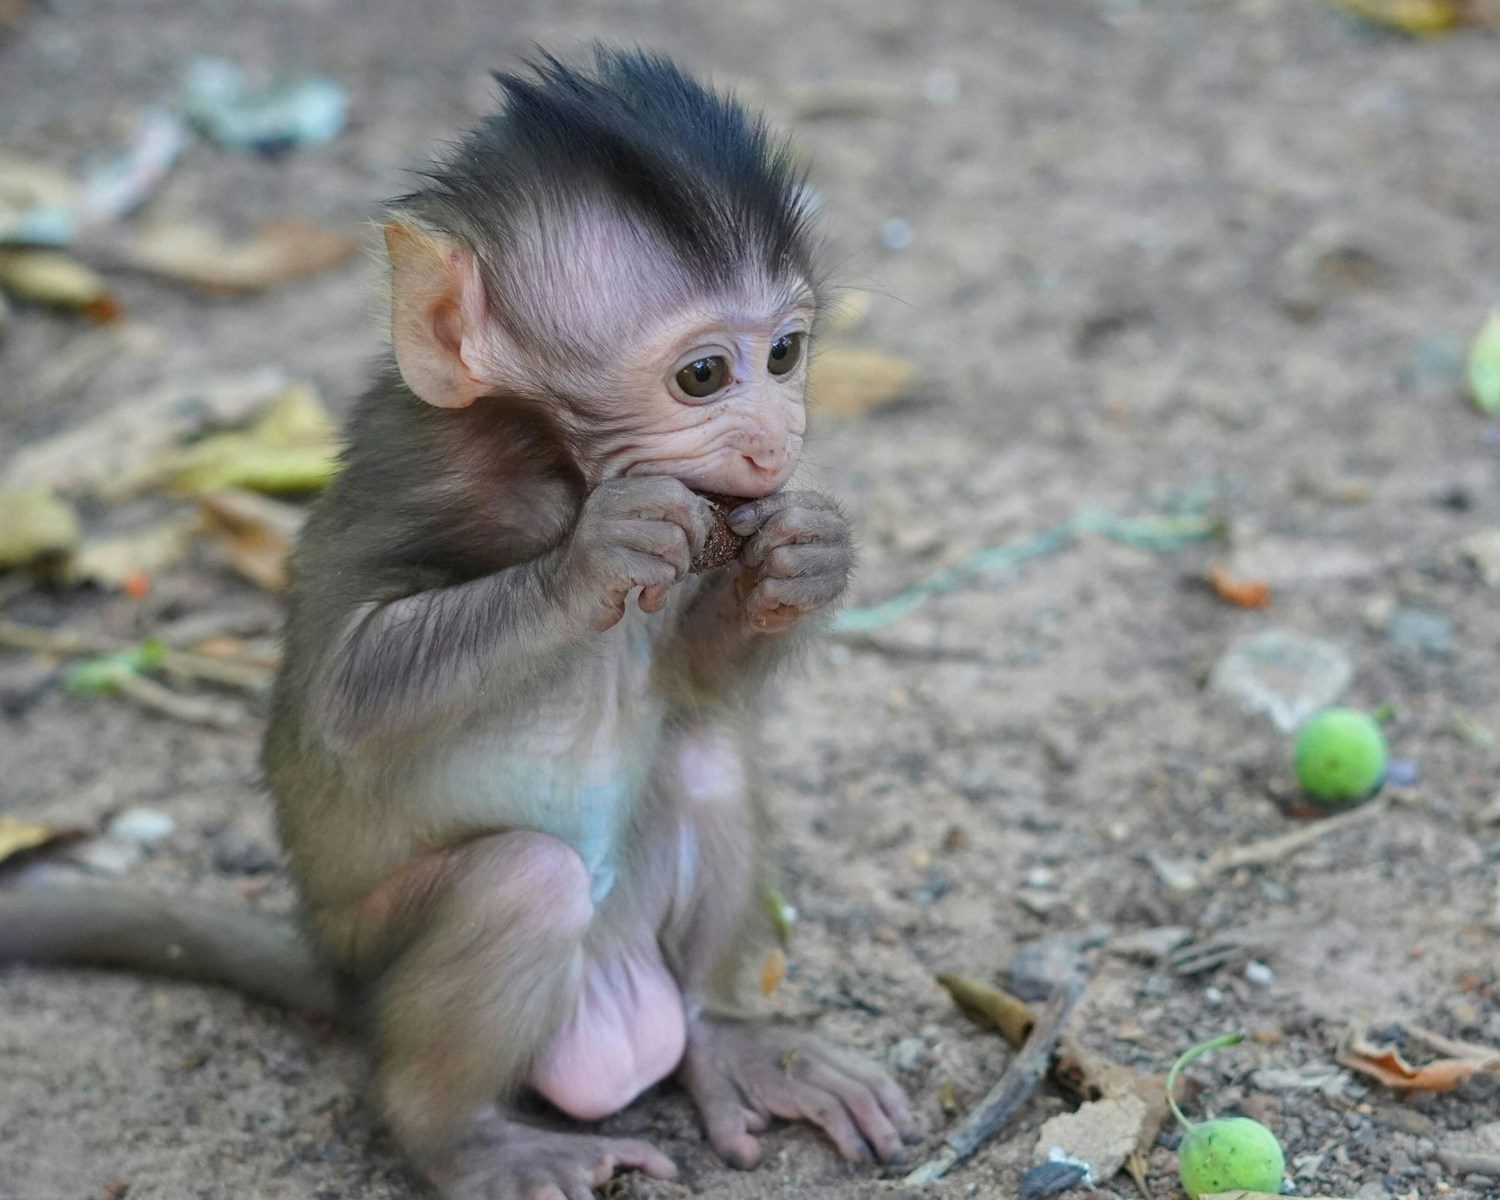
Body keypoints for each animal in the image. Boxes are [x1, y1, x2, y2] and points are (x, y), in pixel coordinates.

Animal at [0, 50, 915, 1200]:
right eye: (704, 375)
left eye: (787, 354)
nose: (773, 441)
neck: (555, 463)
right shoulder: (421, 473)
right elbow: (345, 698)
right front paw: (594, 559)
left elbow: (696, 685)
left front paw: (809, 551)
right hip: (381, 951)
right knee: (519, 883)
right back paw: (464, 1138)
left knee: (701, 759)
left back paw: (730, 1040)